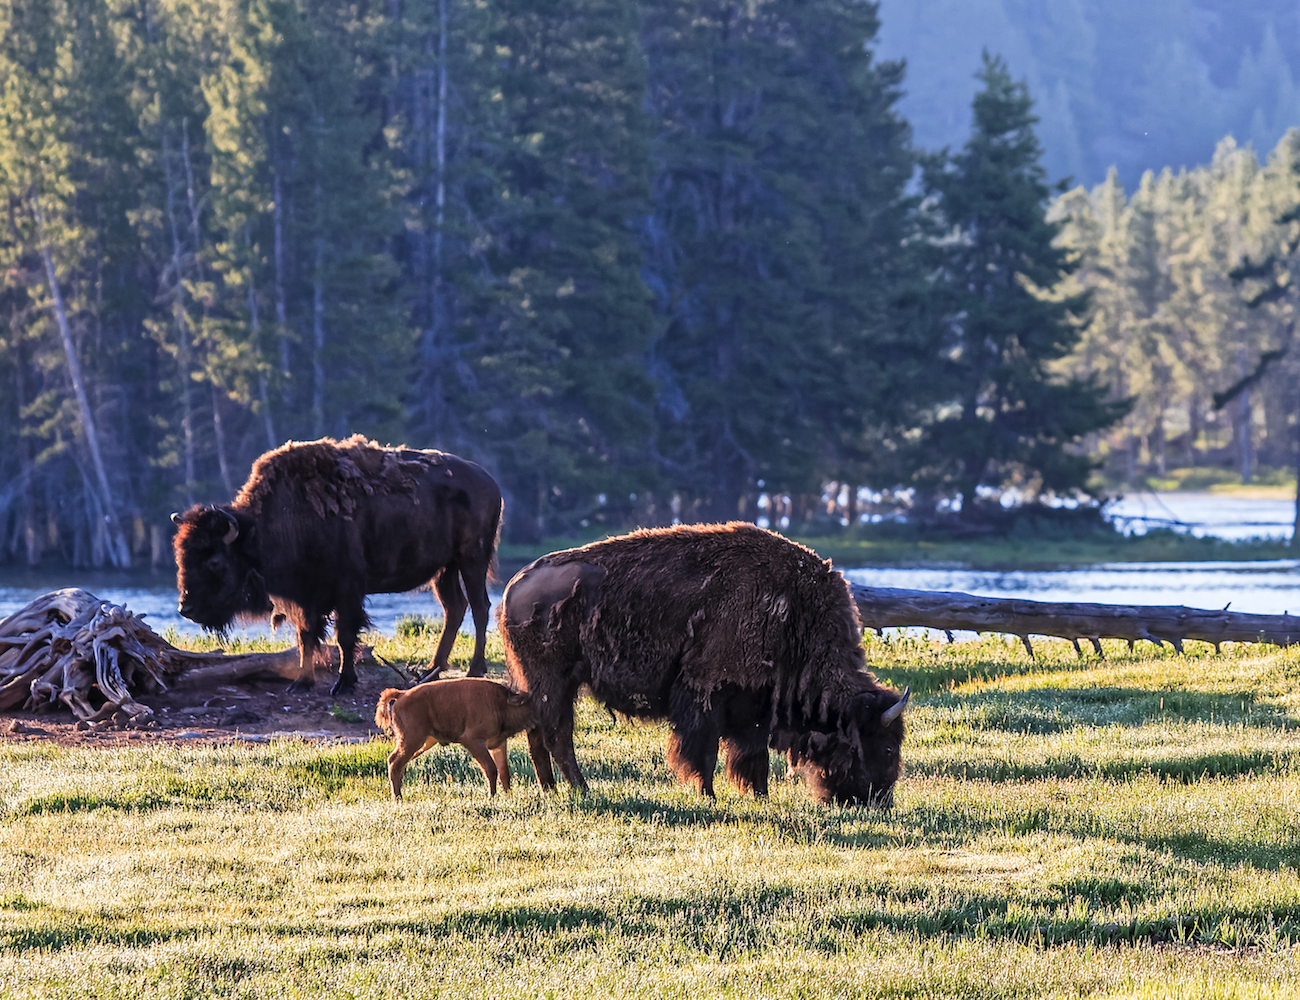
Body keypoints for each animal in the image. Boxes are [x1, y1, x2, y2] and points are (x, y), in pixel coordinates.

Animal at [173, 435, 502, 695]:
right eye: (181, 557)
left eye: (215, 560)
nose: (186, 608)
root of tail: (489, 482)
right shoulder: (304, 597)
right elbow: (306, 636)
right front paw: (301, 683)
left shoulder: (347, 590)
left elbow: (344, 636)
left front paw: (343, 684)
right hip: (444, 569)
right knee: (454, 607)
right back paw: (431, 670)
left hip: (472, 559)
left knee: (480, 606)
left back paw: (475, 669)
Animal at [500, 522, 909, 807]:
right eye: (888, 748)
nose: (880, 802)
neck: (795, 617)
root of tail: (512, 586)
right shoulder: (706, 693)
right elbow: (705, 751)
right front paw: (708, 794)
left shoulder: (754, 707)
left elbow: (751, 756)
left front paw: (760, 796)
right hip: (553, 681)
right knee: (557, 734)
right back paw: (581, 789)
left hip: (551, 685)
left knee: (542, 735)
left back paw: (555, 790)